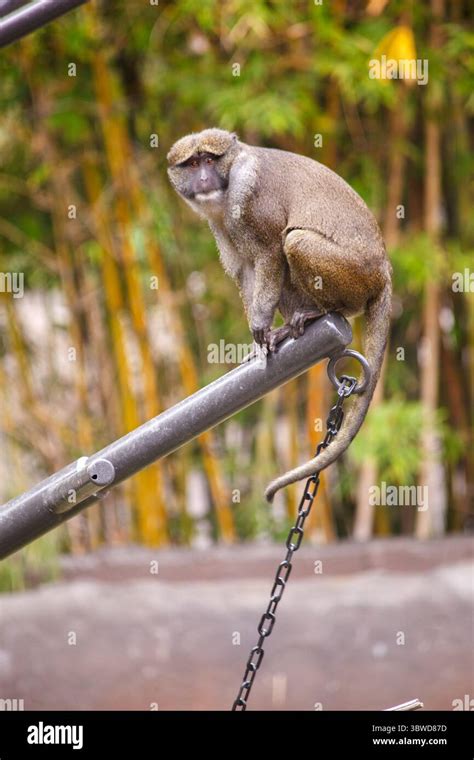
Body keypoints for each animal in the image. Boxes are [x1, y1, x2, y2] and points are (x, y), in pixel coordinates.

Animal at [167, 128, 392, 502]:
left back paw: (321, 312)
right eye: (193, 163)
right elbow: (245, 270)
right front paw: (256, 341)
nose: (204, 178)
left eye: (211, 159)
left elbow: (270, 250)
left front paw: (260, 329)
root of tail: (384, 271)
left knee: (295, 241)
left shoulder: (251, 198)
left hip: (357, 277)